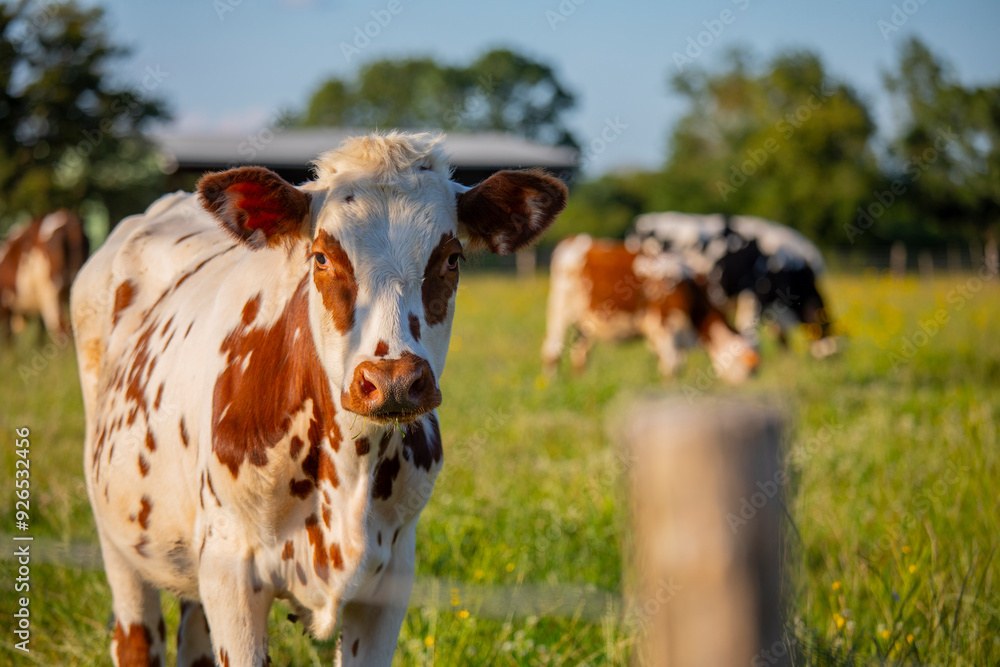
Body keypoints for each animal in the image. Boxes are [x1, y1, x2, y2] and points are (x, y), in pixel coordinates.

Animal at [70, 132, 567, 667]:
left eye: (451, 259)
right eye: (322, 257)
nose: (392, 380)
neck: (351, 464)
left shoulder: (390, 579)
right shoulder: (229, 571)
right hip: (117, 538)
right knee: (136, 635)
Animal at [542, 235, 759, 384]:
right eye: (751, 369)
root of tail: (574, 240)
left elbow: (670, 363)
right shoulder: (664, 326)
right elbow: (672, 365)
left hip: (585, 321)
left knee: (579, 354)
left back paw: (581, 383)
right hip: (560, 309)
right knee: (553, 349)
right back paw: (551, 385)